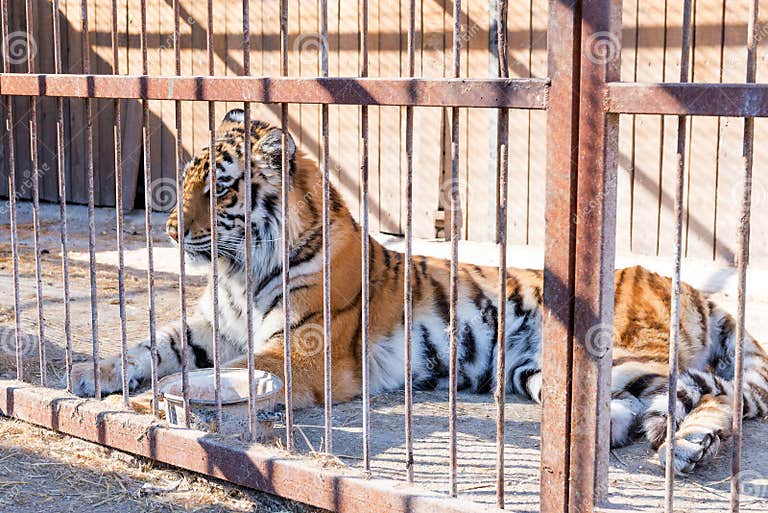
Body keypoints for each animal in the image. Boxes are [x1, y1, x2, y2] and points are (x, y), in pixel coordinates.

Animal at [71, 108, 768, 475]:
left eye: (218, 189)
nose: (167, 228)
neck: (240, 269)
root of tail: (685, 283)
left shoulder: (307, 349)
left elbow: (240, 370)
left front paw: (170, 394)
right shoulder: (208, 326)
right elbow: (149, 344)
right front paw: (92, 373)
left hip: (618, 353)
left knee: (719, 391)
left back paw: (690, 448)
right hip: (537, 374)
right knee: (634, 410)